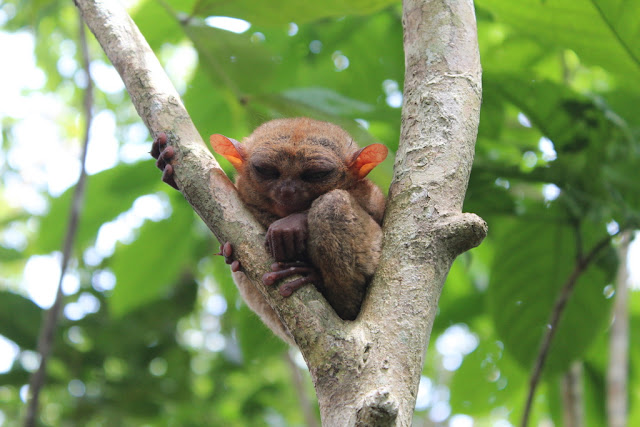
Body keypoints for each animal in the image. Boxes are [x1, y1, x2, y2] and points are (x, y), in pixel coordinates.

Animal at [152, 118, 387, 343]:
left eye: (316, 174)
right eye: (266, 170)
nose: (287, 190)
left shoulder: (370, 194)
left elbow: (377, 207)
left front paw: (291, 224)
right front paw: (166, 165)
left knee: (332, 204)